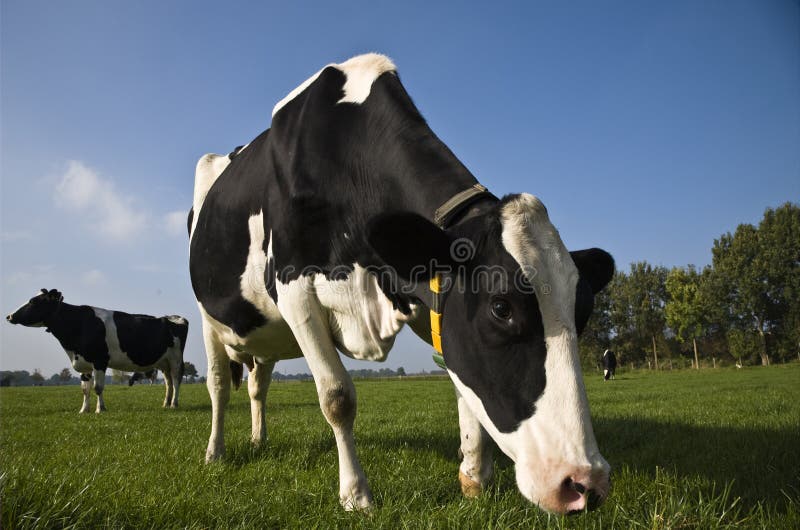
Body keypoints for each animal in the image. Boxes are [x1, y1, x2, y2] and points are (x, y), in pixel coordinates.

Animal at [6, 289, 188, 412]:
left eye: (33, 301)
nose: (9, 316)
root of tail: (174, 317)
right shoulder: (83, 363)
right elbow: (85, 389)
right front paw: (83, 410)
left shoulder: (100, 360)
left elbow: (98, 387)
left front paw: (100, 409)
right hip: (163, 362)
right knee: (168, 382)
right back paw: (166, 403)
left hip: (176, 359)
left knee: (176, 380)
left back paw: (174, 404)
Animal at [189, 54, 615, 514]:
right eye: (501, 308)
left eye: (583, 311)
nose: (584, 482)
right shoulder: (294, 290)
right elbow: (336, 397)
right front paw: (356, 495)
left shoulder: (423, 292)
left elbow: (460, 379)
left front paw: (473, 477)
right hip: (207, 318)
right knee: (218, 385)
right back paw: (214, 452)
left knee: (257, 385)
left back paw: (258, 439)